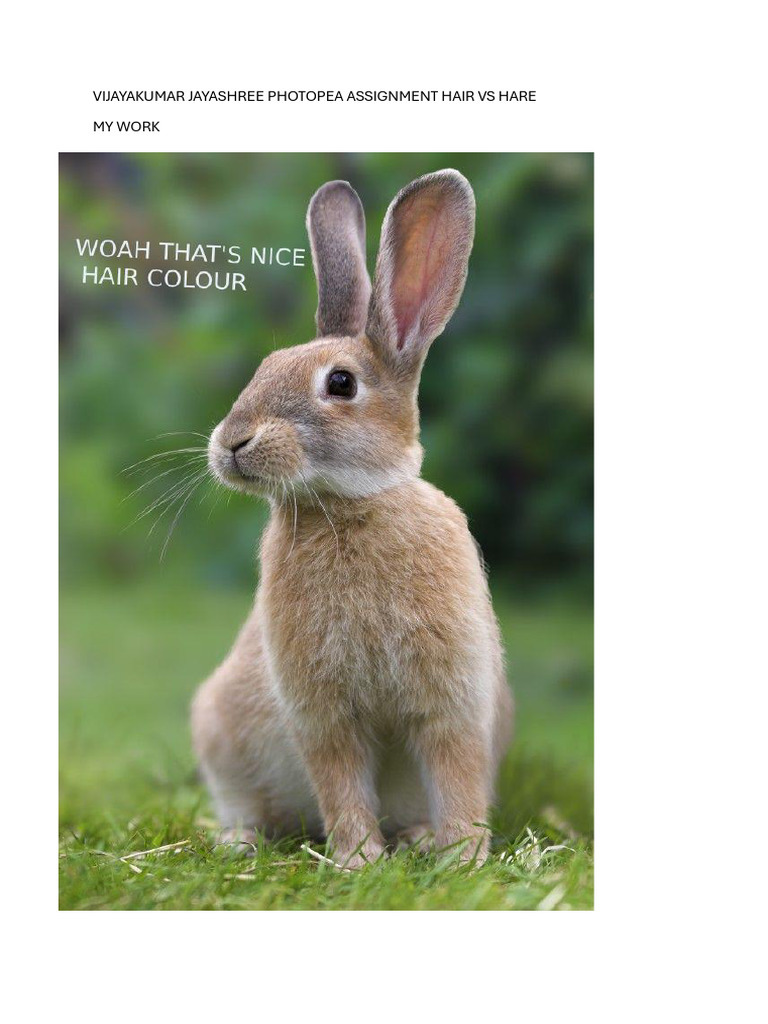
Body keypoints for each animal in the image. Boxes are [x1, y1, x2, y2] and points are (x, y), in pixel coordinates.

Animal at [191, 169, 513, 868]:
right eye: (263, 368)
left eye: (340, 384)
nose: (231, 443)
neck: (350, 505)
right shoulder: (322, 710)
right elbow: (340, 780)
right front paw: (358, 859)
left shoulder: (453, 699)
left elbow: (456, 772)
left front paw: (463, 856)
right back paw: (239, 840)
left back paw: (419, 839)